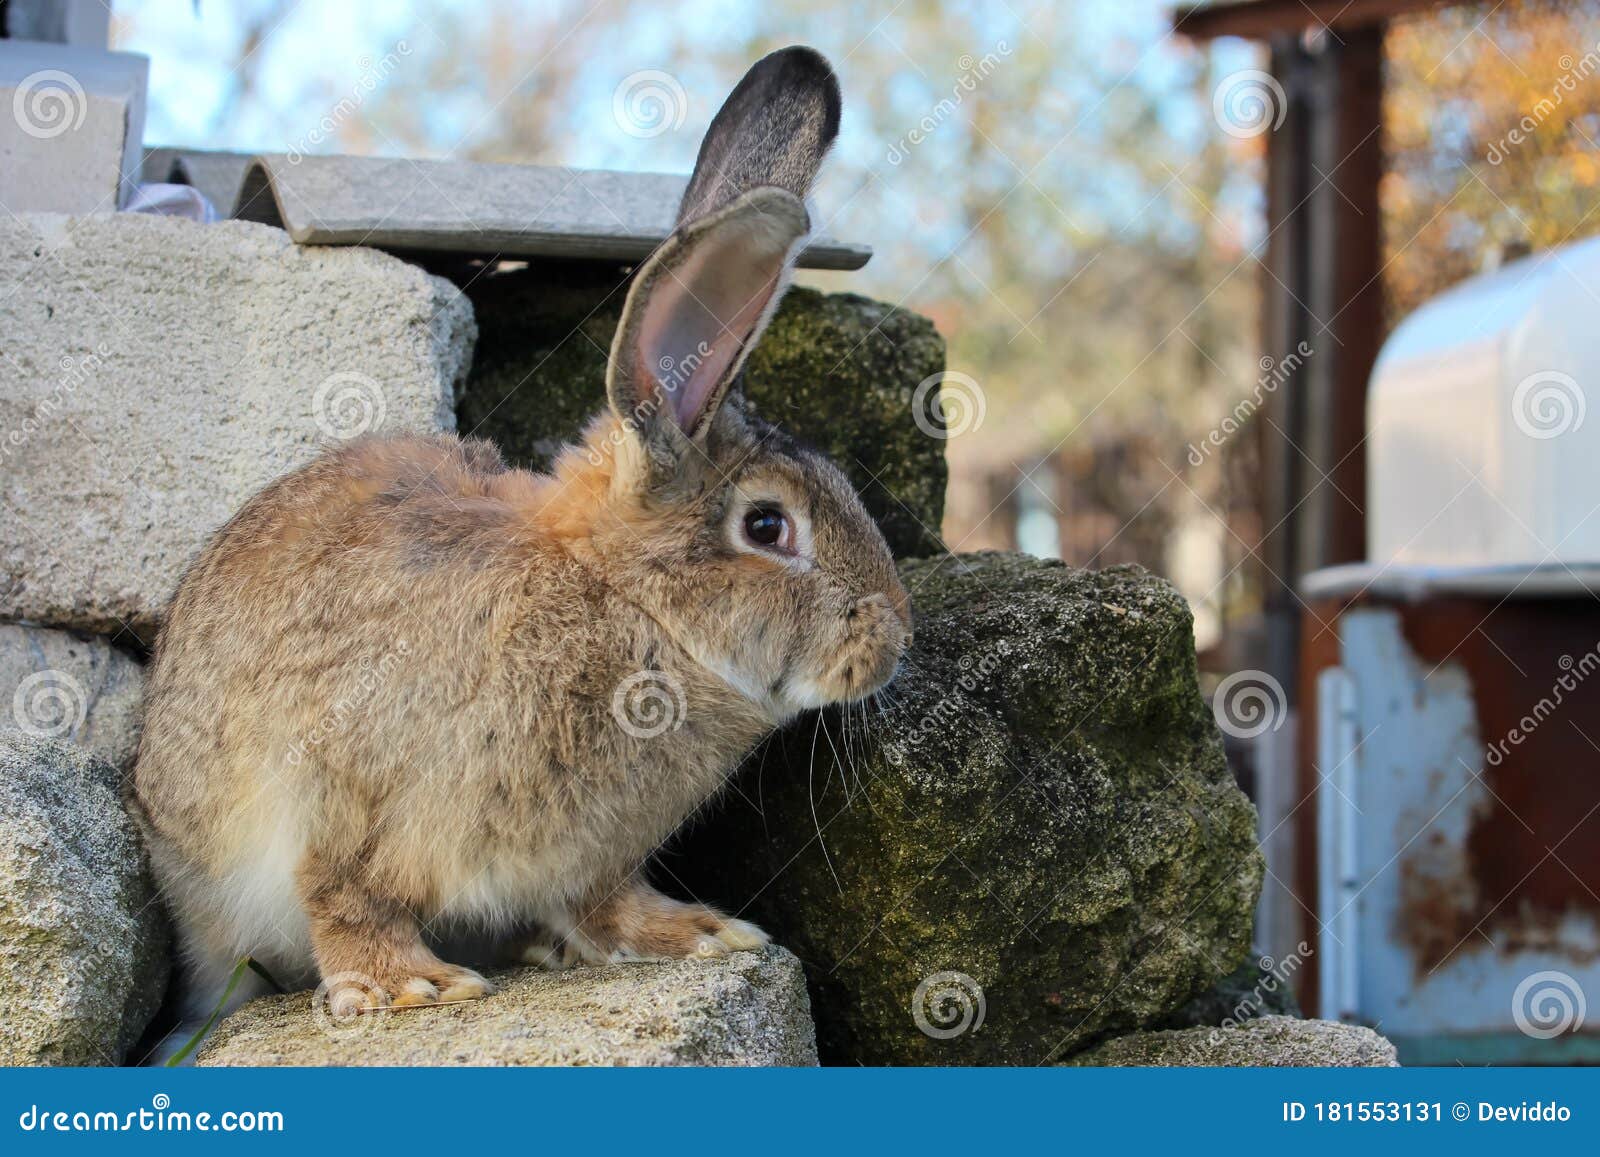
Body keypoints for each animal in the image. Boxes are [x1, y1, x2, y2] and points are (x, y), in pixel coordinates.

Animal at [130, 45, 911, 1057]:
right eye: (769, 527)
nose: (895, 642)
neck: (622, 600)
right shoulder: (342, 791)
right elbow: (344, 893)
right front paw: (409, 988)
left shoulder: (590, 857)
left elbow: (602, 903)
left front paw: (694, 933)